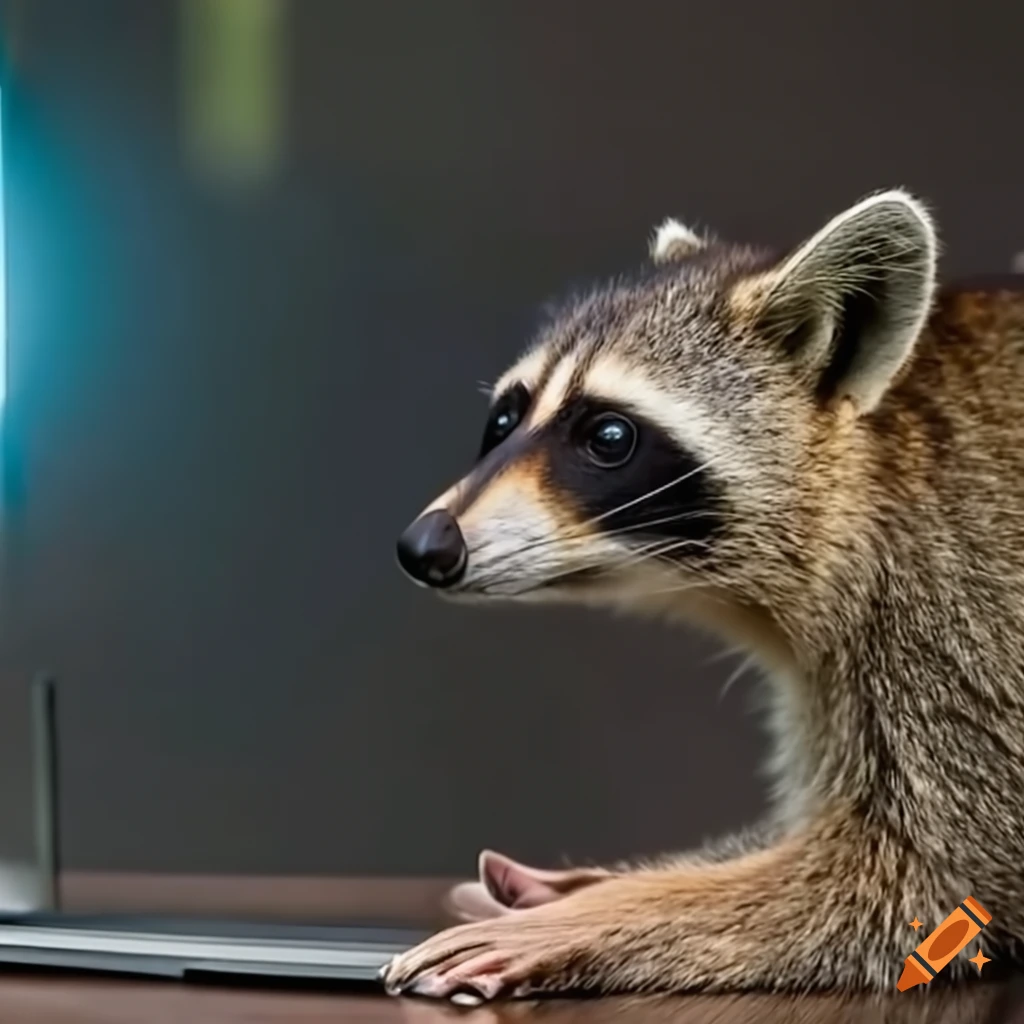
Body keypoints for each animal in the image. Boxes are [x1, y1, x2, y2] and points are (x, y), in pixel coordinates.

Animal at [385, 190, 1024, 1001]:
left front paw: (602, 909)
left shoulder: (958, 605)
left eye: (610, 437)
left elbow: (928, 877)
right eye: (503, 420)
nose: (424, 547)